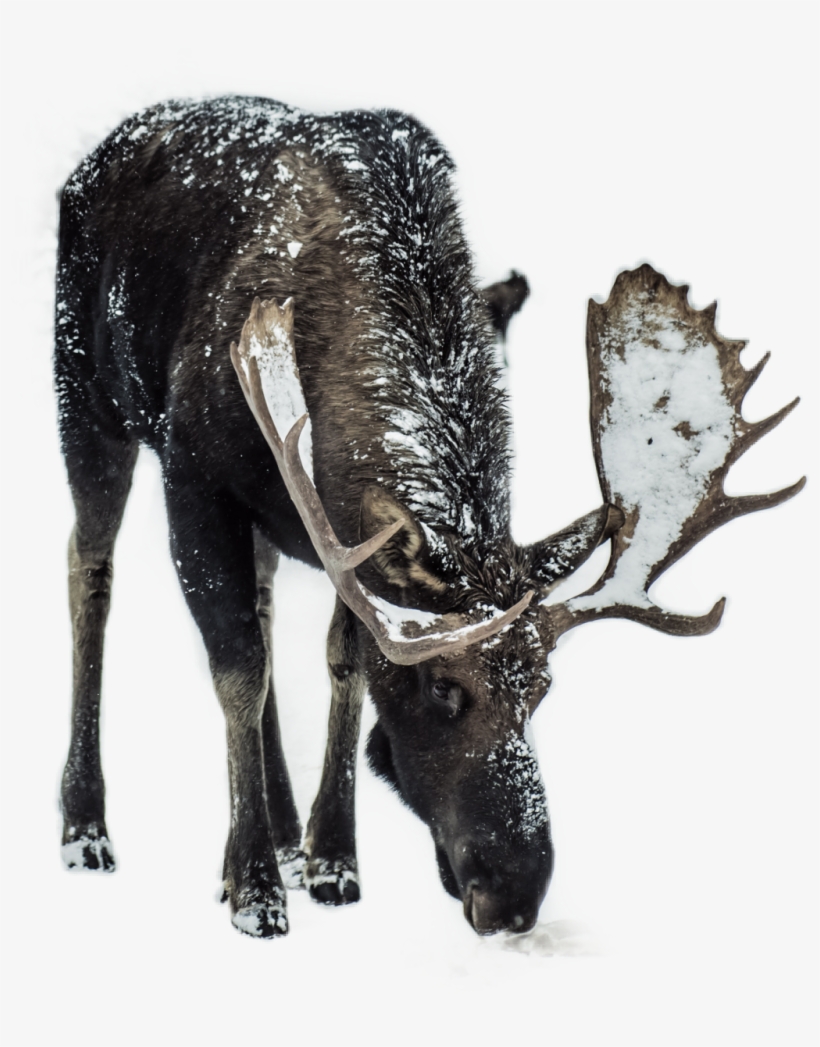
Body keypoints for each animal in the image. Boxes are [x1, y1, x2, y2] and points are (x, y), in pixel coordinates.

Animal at [56, 96, 804, 938]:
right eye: (445, 688)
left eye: (543, 686)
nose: (515, 893)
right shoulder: (194, 472)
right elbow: (238, 668)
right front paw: (253, 887)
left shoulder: (339, 533)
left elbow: (342, 662)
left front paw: (331, 856)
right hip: (86, 397)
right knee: (91, 570)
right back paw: (87, 825)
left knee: (264, 601)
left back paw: (283, 829)